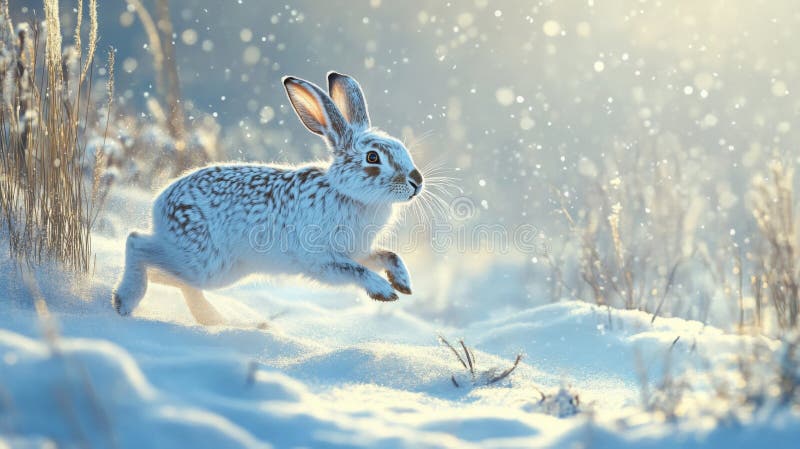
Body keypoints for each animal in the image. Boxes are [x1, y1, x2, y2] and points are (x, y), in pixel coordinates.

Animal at [112, 72, 424, 325]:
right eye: (373, 157)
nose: (417, 182)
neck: (345, 192)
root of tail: (160, 203)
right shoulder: (320, 259)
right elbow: (355, 270)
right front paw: (383, 291)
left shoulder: (358, 249)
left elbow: (387, 255)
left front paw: (403, 283)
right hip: (201, 260)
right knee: (136, 242)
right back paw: (125, 300)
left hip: (218, 270)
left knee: (168, 275)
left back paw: (211, 317)